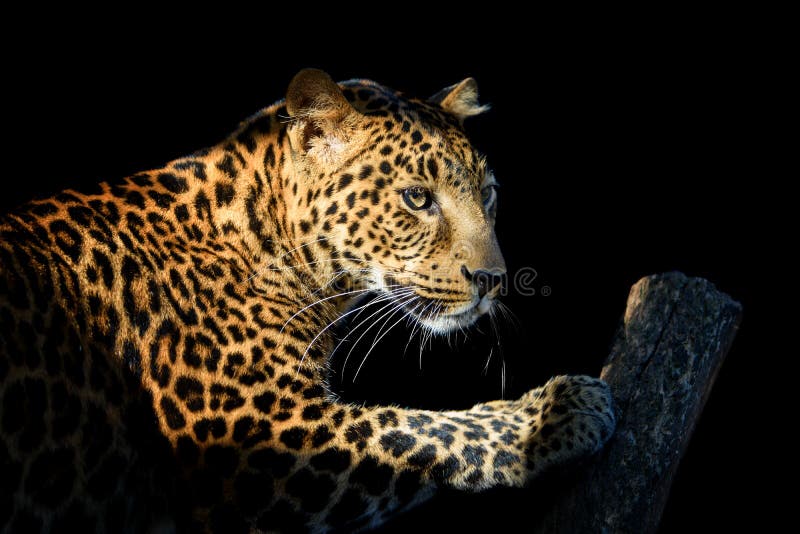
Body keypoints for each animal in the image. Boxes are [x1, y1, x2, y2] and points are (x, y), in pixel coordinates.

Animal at [0, 68, 615, 533]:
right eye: (418, 198)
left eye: (487, 193)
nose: (492, 278)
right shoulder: (258, 439)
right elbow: (419, 431)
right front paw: (560, 409)